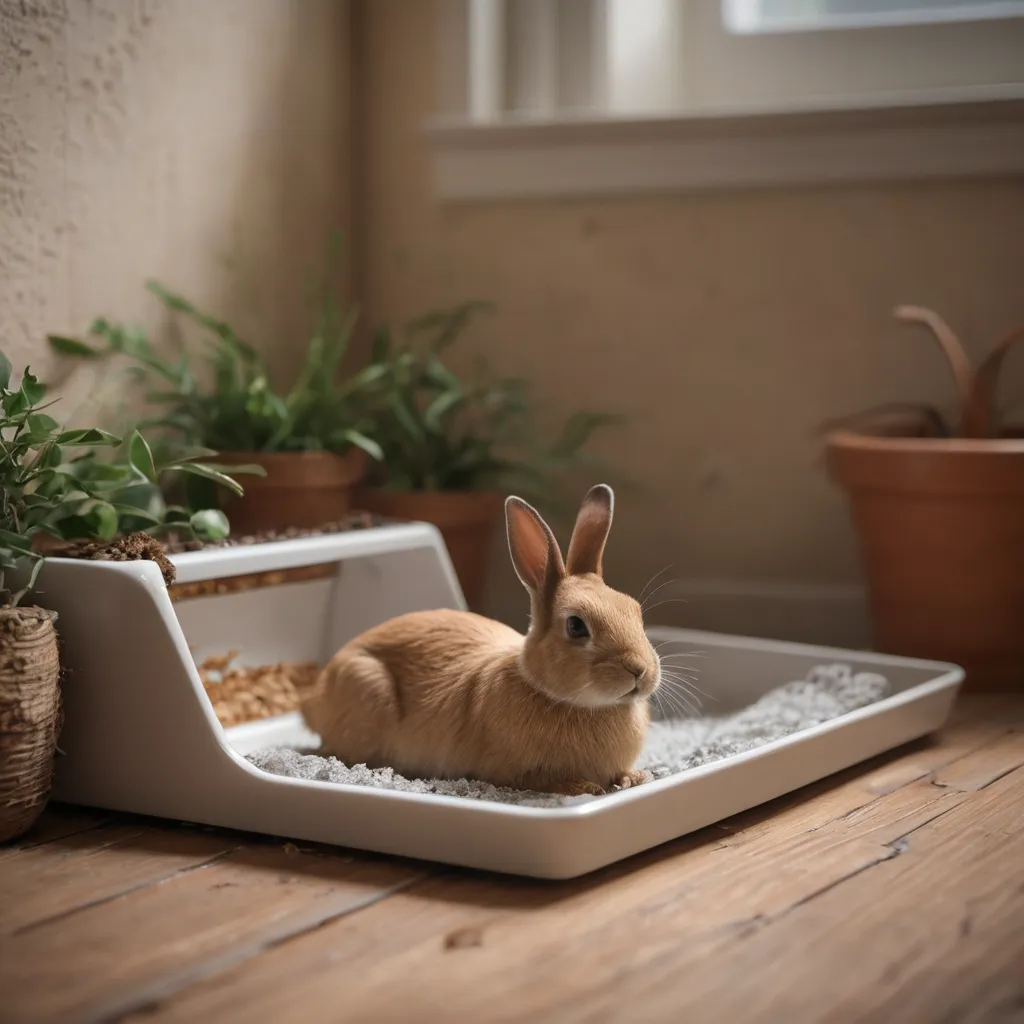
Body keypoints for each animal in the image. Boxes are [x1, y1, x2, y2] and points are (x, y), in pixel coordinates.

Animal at [300, 484, 661, 796]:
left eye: (634, 610)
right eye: (575, 626)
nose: (640, 670)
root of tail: (315, 698)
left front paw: (633, 778)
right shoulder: (514, 771)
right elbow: (538, 779)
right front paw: (583, 786)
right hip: (367, 685)